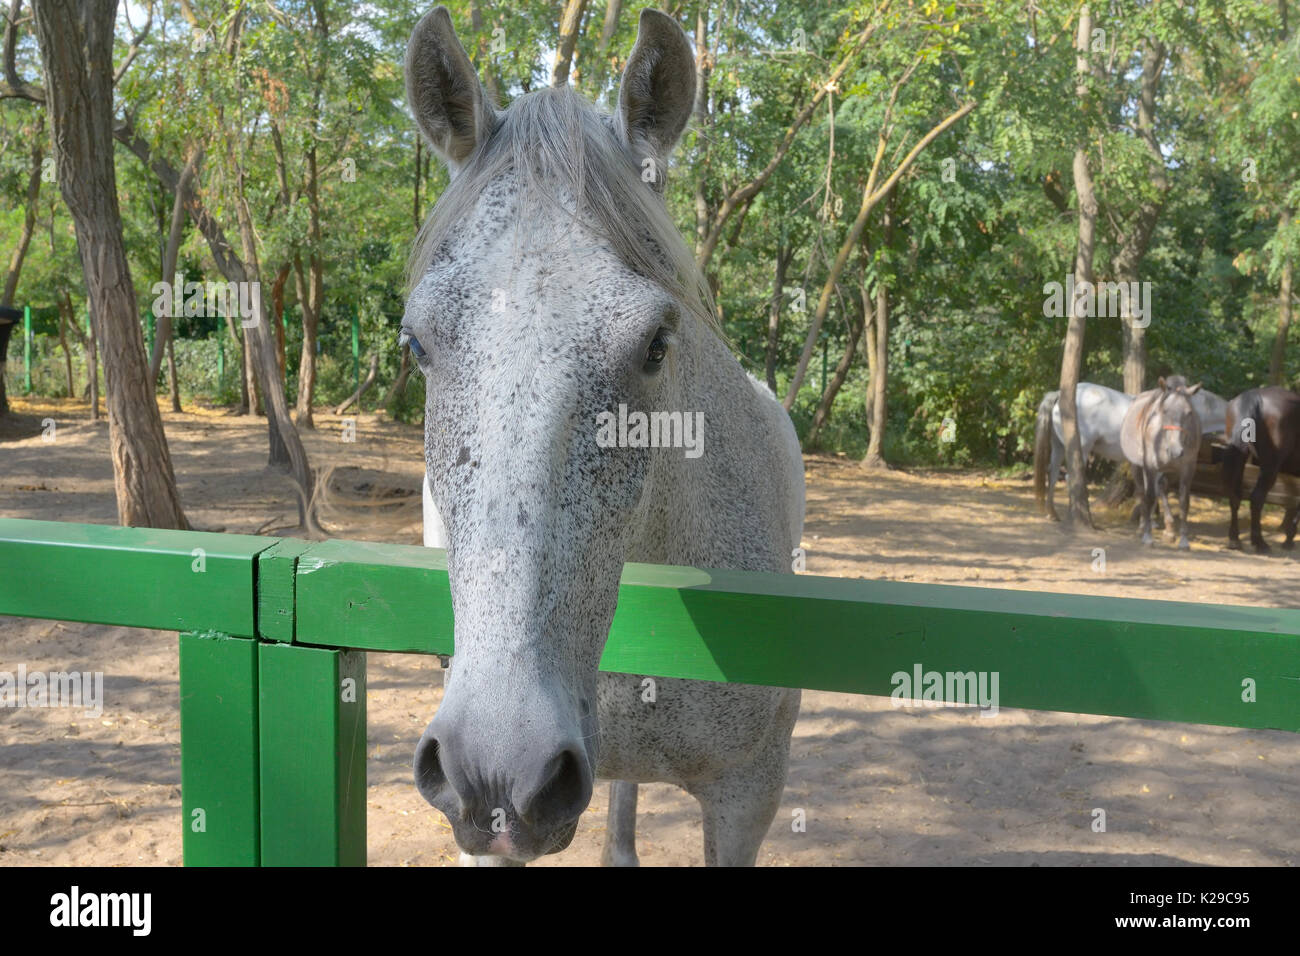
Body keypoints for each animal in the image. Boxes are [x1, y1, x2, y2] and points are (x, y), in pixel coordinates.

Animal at [1033, 381, 1226, 529]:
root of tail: (1060, 396)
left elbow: (1152, 488)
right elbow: (1156, 488)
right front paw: (1156, 524)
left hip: (1058, 446)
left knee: (1053, 473)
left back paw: (1052, 513)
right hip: (1083, 448)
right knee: (1070, 477)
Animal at [1119, 376, 1203, 549]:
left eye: (1189, 413)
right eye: (1164, 411)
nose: (1176, 451)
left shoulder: (1187, 468)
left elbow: (1184, 501)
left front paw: (1183, 540)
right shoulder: (1150, 466)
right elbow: (1149, 496)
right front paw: (1148, 537)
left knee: (1160, 488)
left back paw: (1164, 528)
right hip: (1137, 466)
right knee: (1142, 492)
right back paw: (1143, 526)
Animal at [1222, 386, 1300, 553]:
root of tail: (1254, 396)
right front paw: (1289, 538)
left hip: (1240, 457)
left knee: (1235, 496)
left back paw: (1234, 540)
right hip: (1270, 467)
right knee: (1256, 498)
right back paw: (1260, 543)